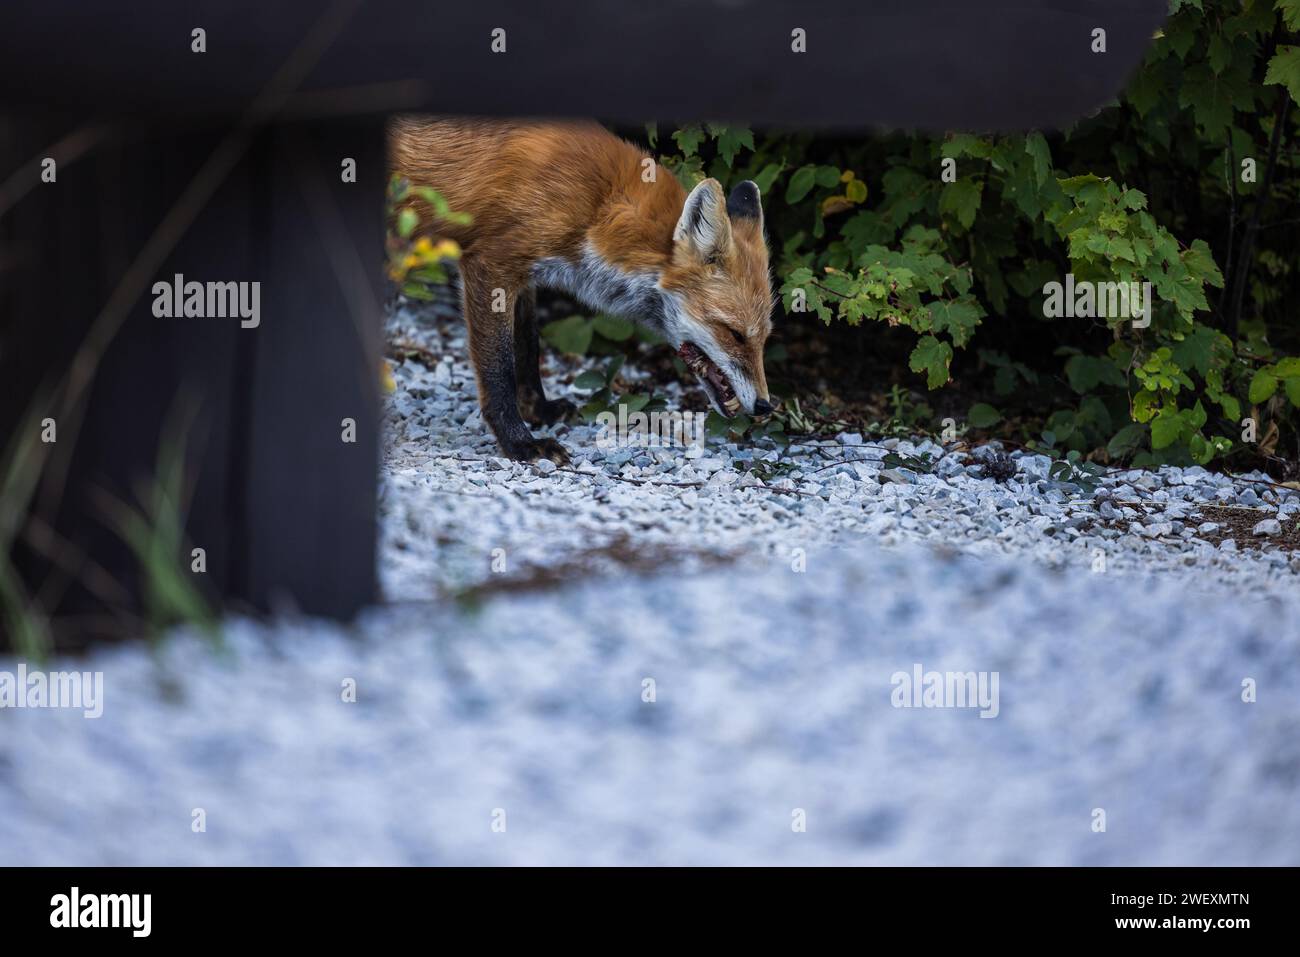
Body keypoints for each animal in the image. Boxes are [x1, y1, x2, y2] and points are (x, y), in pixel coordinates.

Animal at [389, 117, 774, 464]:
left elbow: (528, 347)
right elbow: (500, 369)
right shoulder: (491, 265)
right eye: (735, 334)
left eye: (763, 337)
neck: (599, 205)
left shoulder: (523, 275)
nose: (765, 406)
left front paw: (538, 409)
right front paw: (520, 443)